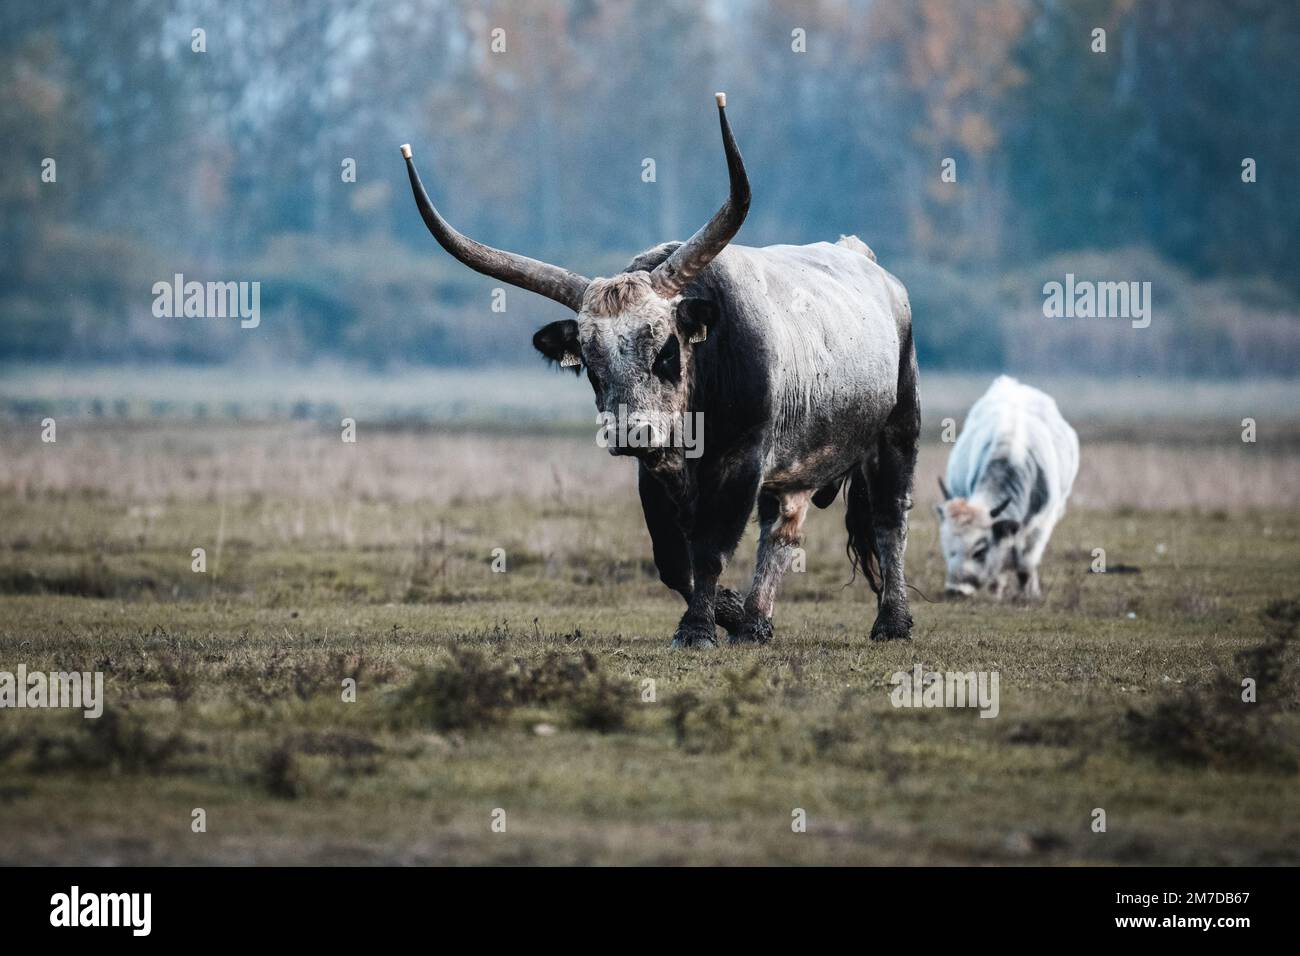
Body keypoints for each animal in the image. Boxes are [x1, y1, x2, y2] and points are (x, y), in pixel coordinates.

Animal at [400, 93, 920, 647]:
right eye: (590, 361)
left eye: (667, 349)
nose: (631, 432)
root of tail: (868, 263)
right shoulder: (652, 474)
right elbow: (673, 559)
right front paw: (725, 610)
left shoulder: (740, 462)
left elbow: (710, 549)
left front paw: (697, 628)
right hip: (796, 466)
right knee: (783, 530)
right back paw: (755, 622)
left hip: (896, 431)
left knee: (889, 520)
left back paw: (892, 621)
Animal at [936, 376, 1079, 599]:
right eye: (947, 548)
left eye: (980, 551)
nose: (956, 590)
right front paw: (997, 590)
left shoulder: (1041, 526)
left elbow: (1026, 563)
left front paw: (1029, 594)